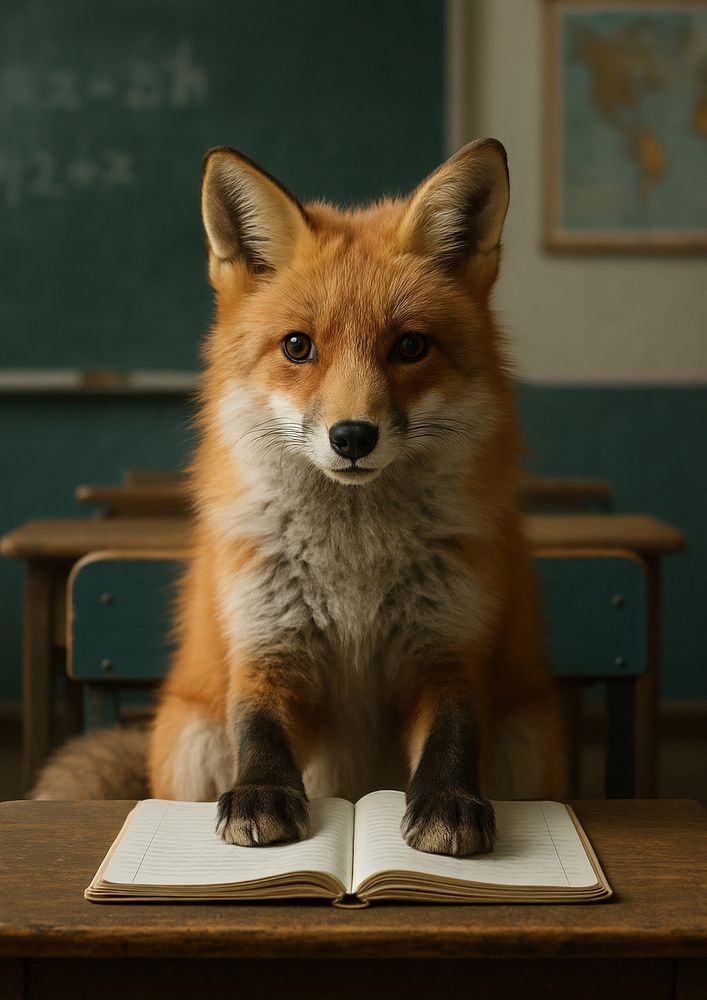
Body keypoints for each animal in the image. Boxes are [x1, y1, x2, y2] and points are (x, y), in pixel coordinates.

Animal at [32, 139, 567, 856]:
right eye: (297, 346)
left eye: (410, 346)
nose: (352, 436)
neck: (354, 570)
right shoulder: (268, 646)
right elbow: (257, 729)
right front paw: (260, 795)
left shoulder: (448, 650)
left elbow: (453, 734)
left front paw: (449, 804)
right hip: (193, 741)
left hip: (526, 742)